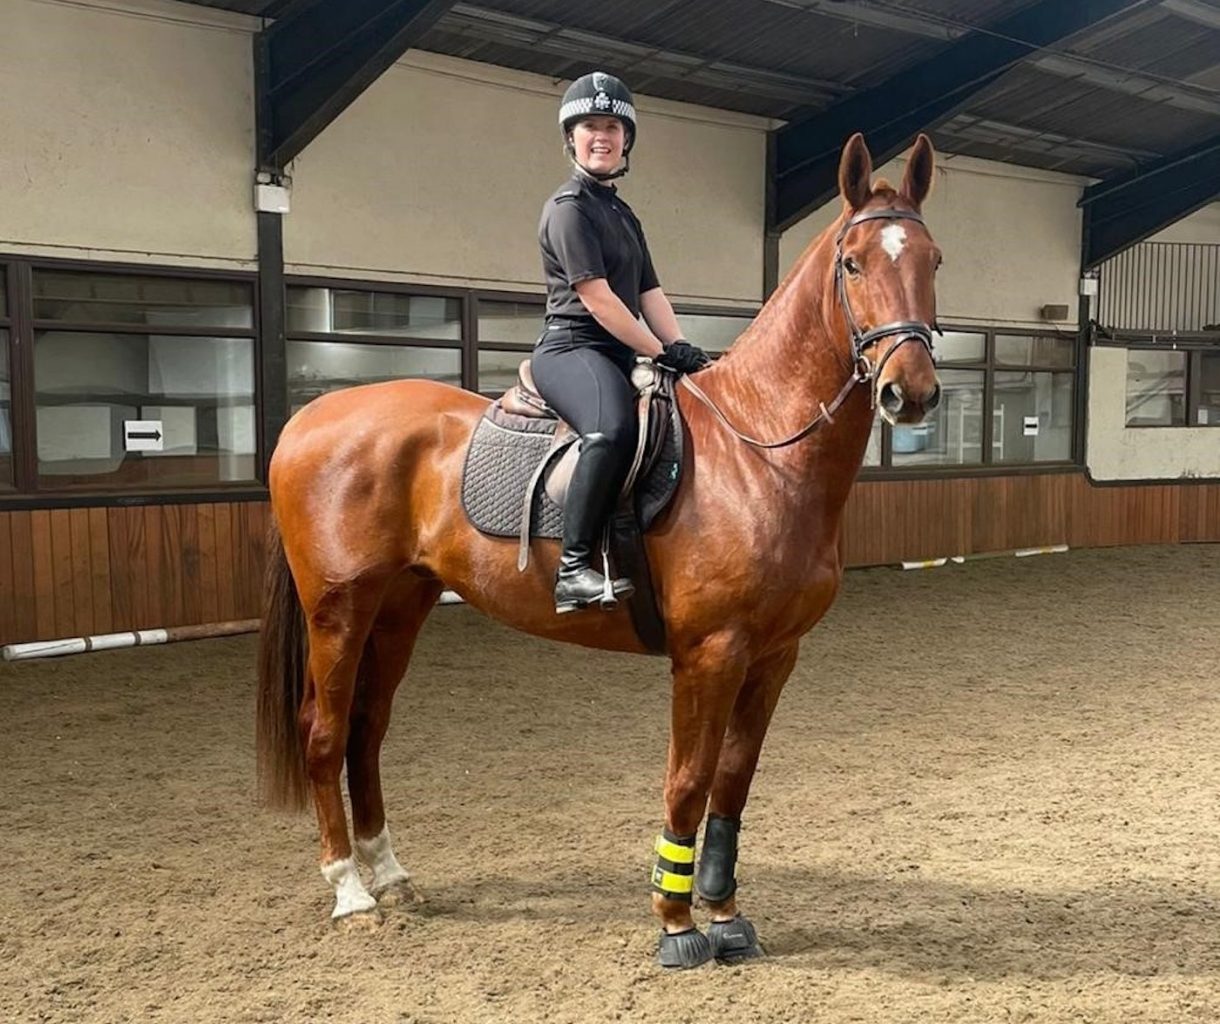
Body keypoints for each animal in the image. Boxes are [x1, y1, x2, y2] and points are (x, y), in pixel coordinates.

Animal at [256, 132, 943, 968]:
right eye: (852, 264)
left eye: (934, 260)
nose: (910, 392)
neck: (759, 448)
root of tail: (309, 418)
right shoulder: (710, 654)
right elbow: (688, 781)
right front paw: (677, 925)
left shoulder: (775, 656)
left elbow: (732, 784)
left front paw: (725, 913)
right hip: (339, 609)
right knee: (324, 732)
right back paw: (350, 891)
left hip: (399, 606)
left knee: (367, 730)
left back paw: (389, 875)